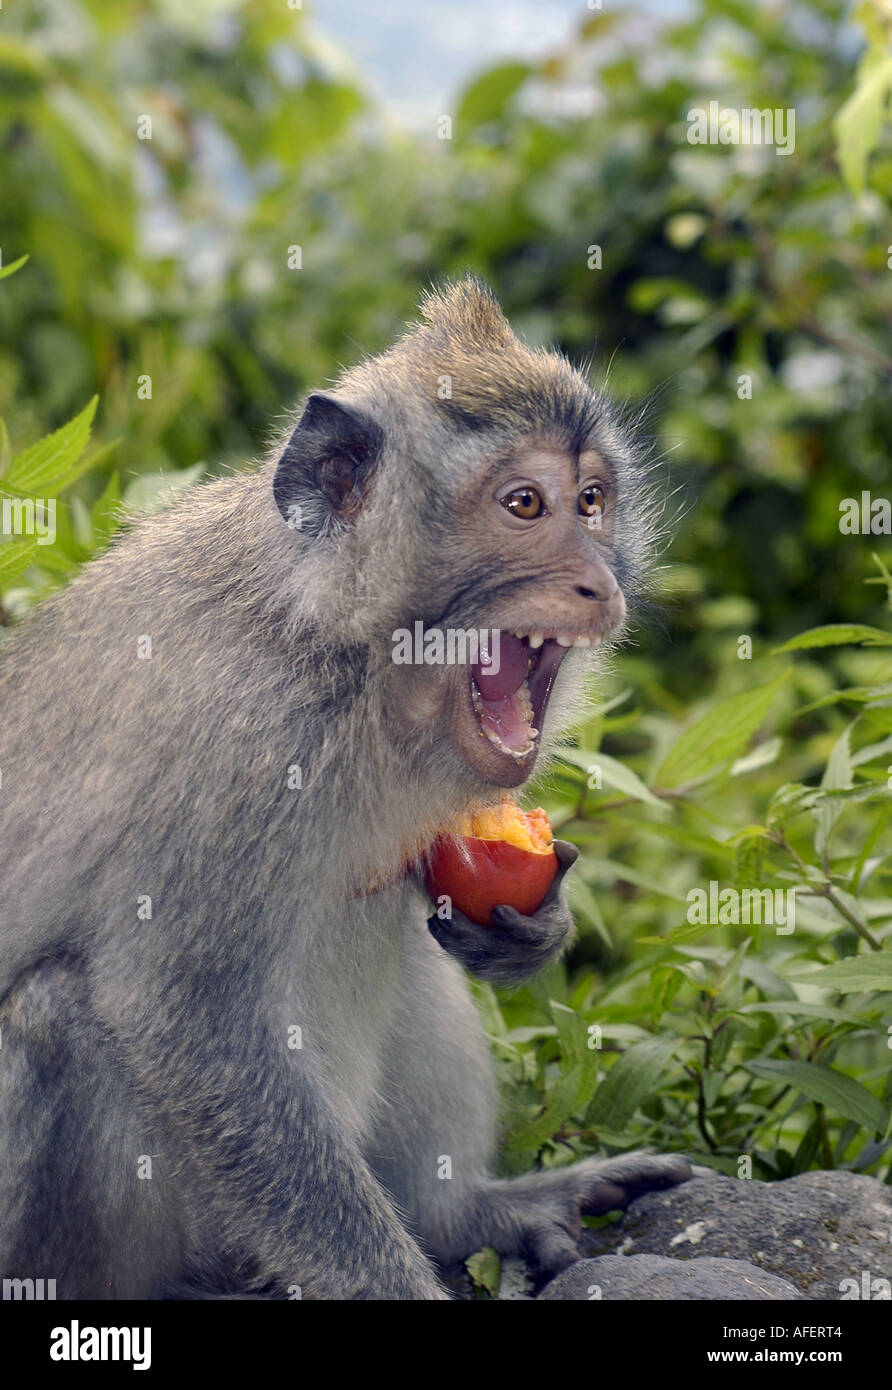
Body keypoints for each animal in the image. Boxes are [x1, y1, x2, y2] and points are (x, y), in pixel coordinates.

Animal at [0, 277, 690, 1300]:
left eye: (594, 501)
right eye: (524, 503)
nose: (599, 585)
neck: (339, 649)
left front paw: (532, 928)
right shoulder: (240, 742)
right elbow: (189, 1020)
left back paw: (469, 1212)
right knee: (59, 1026)